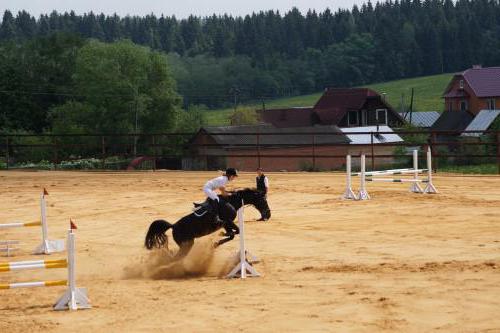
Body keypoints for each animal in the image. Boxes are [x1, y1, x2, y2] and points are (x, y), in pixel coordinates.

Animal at [143, 188, 272, 258]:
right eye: (264, 200)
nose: (268, 214)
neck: (230, 202)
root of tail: (173, 226)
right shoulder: (227, 222)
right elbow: (235, 232)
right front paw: (220, 237)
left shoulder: (226, 224)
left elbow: (233, 234)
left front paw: (216, 243)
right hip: (187, 244)